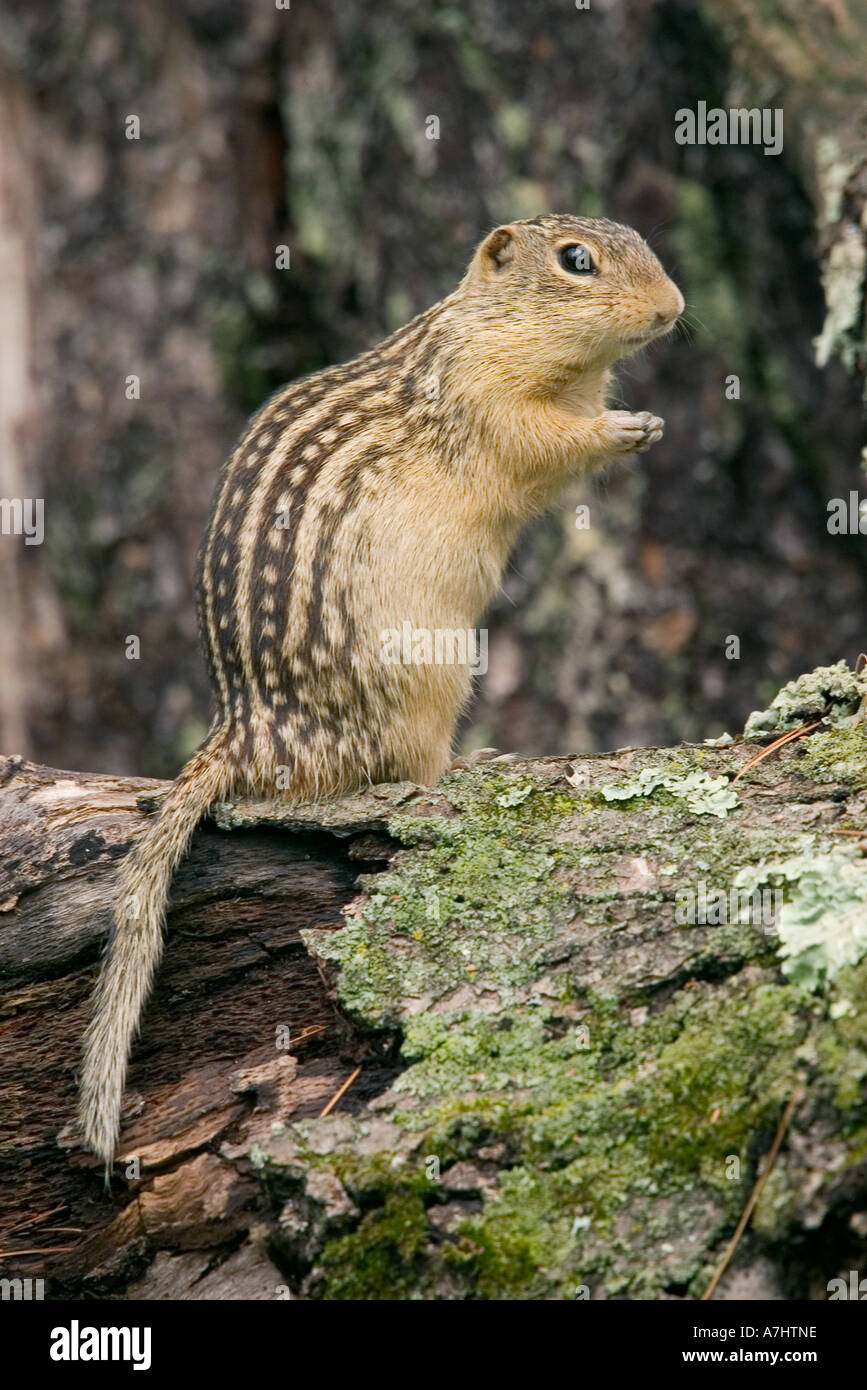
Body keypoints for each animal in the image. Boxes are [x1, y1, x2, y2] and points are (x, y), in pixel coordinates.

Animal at [78, 215, 683, 1163]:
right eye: (576, 261)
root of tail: (240, 732)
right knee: (409, 767)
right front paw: (629, 428)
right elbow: (545, 444)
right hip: (429, 675)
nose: (672, 309)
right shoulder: (486, 404)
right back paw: (475, 765)